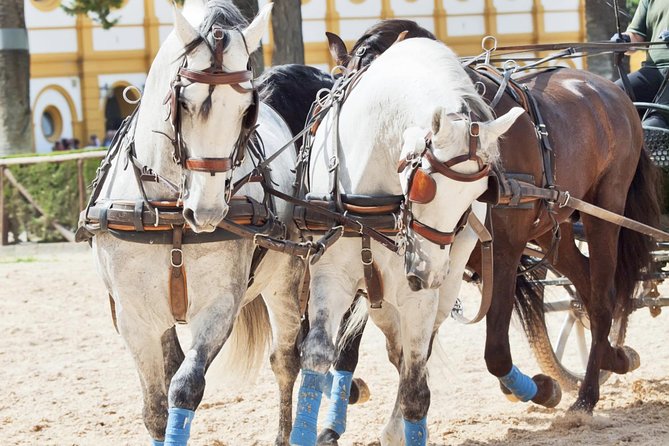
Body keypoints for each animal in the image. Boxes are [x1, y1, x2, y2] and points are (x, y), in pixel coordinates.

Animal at [81, 2, 328, 444]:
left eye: (248, 112)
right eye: (183, 103)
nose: (209, 213)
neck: (172, 215)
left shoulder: (218, 307)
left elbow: (184, 387)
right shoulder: (134, 317)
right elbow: (156, 408)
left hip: (287, 280)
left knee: (287, 360)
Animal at [289, 37, 524, 446]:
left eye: (479, 193)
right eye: (424, 186)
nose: (427, 275)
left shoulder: (419, 291)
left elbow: (416, 387)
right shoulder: (331, 275)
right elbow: (317, 354)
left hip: (440, 285)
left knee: (418, 352)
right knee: (394, 348)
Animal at [324, 18, 661, 429]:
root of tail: (610, 91)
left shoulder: (504, 249)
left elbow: (495, 350)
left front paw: (540, 389)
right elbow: (360, 344)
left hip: (604, 213)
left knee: (600, 298)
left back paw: (586, 397)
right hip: (555, 227)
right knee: (585, 287)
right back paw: (616, 357)